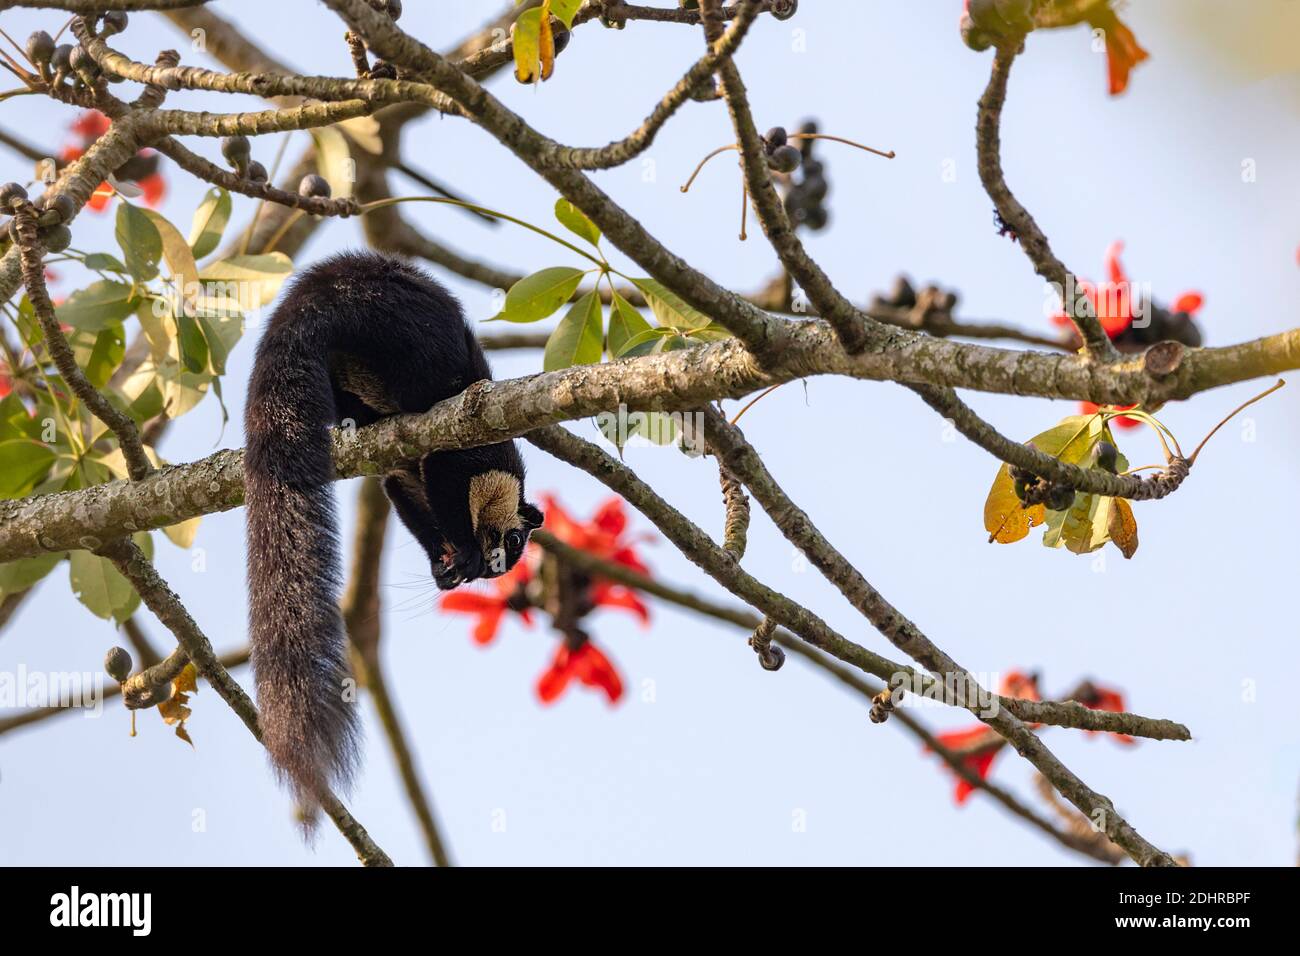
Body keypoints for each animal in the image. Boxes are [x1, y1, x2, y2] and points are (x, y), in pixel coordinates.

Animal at [244, 251, 543, 815]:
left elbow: (405, 492)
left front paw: (445, 568)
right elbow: (447, 479)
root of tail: (321, 291)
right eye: (514, 543)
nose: (494, 568)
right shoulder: (473, 459)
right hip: (406, 337)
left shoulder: (405, 473)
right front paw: (464, 554)